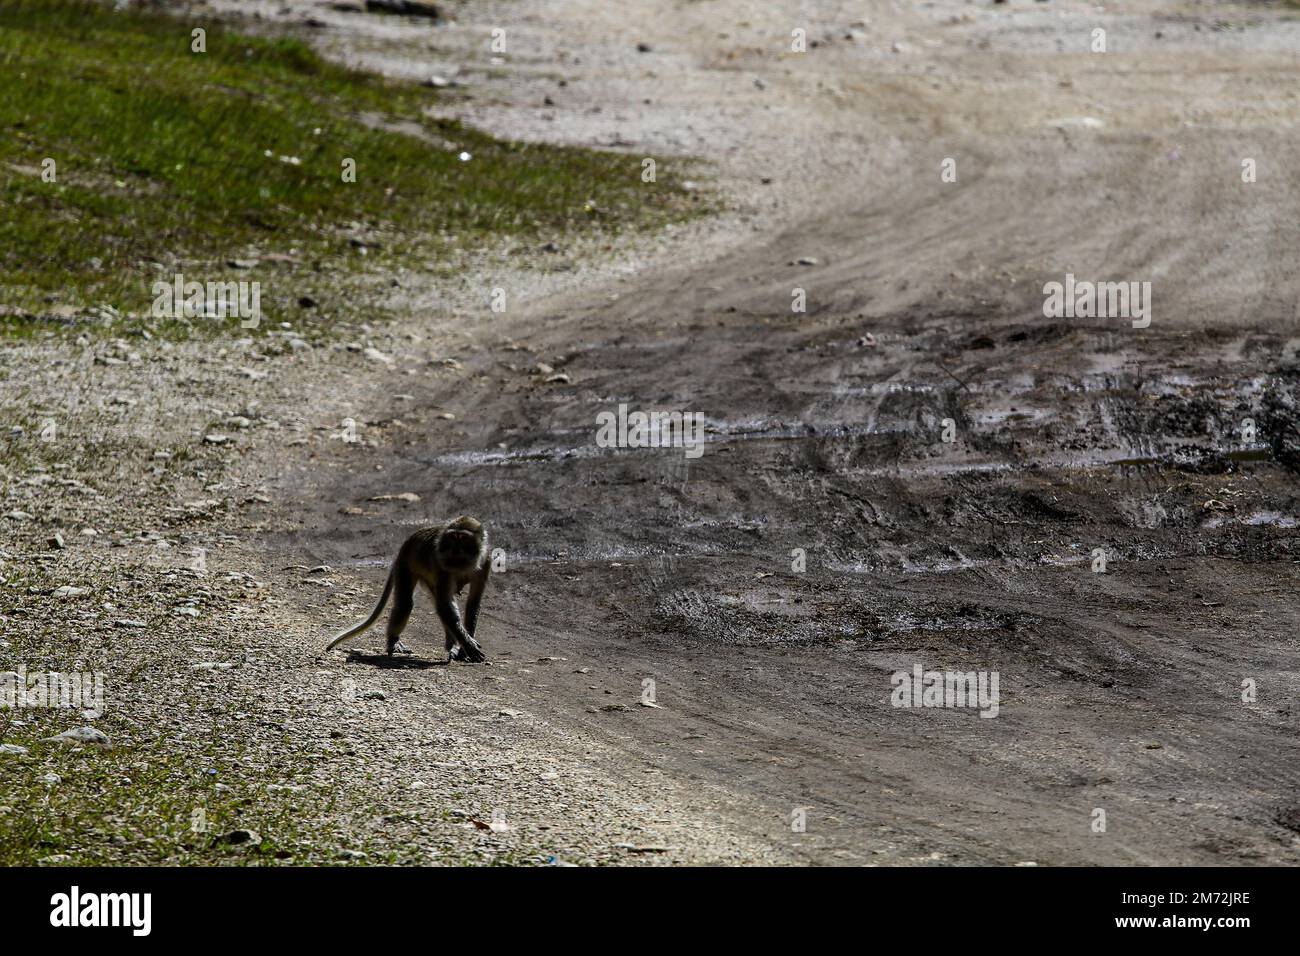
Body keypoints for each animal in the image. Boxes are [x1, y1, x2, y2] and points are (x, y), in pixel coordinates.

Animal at [325, 516, 490, 662]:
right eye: (453, 537)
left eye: (463, 538)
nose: (454, 549)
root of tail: (406, 543)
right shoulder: (442, 566)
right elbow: (445, 604)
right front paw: (468, 645)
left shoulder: (485, 562)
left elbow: (473, 602)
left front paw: (465, 647)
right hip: (405, 564)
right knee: (406, 604)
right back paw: (393, 641)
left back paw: (451, 645)